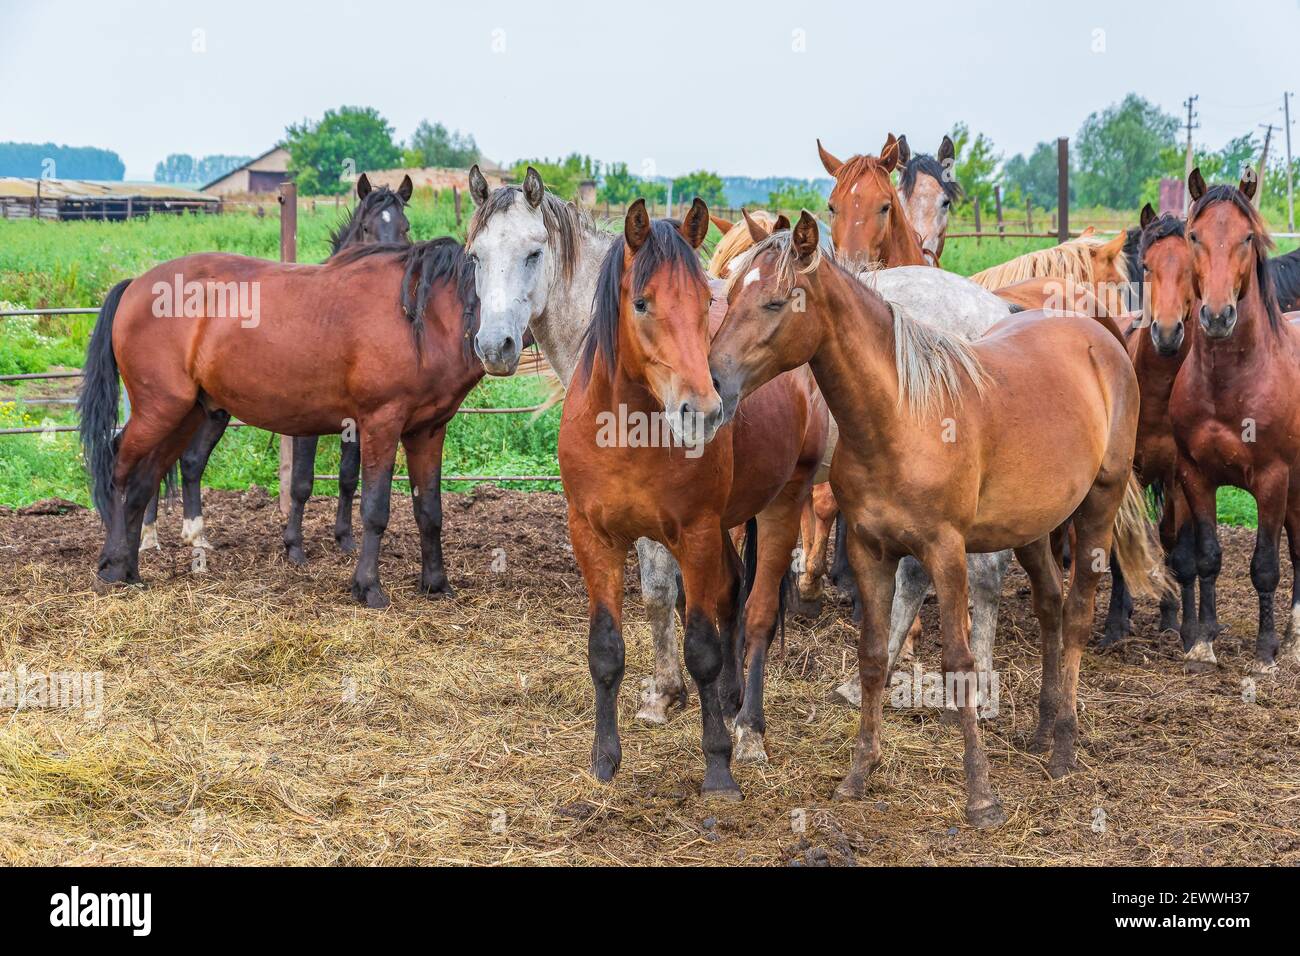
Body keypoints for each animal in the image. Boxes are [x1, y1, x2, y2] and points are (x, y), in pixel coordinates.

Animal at [77, 231, 481, 609]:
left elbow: (429, 510)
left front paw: (436, 584)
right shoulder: (381, 423)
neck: (421, 315)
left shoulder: (427, 430)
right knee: (120, 468)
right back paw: (113, 564)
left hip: (184, 416)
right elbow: (375, 509)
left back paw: (130, 569)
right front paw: (368, 587)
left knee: (145, 482)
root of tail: (136, 285)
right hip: (158, 409)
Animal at [137, 173, 415, 558]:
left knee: (190, 462)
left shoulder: (359, 422)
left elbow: (347, 477)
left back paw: (196, 537)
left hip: (213, 413)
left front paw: (345, 539)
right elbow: (301, 482)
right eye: (366, 227)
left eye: (405, 227)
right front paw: (294, 546)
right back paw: (149, 537)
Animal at [558, 199, 827, 789]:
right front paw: (604, 760)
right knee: (731, 592)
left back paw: (749, 729)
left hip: (783, 503)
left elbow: (701, 647)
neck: (627, 430)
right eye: (641, 302)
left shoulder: (696, 532)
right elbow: (606, 650)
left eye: (706, 301)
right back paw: (730, 699)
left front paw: (718, 766)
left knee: (756, 613)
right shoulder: (594, 537)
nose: (703, 412)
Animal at [708, 214, 1167, 825]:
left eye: (776, 302)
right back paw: (1043, 729)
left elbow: (958, 659)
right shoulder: (870, 550)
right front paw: (859, 773)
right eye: (733, 290)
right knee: (1049, 604)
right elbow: (873, 655)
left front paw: (981, 796)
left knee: (1075, 614)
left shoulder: (945, 552)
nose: (713, 380)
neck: (901, 415)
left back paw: (1064, 747)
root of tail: (1100, 338)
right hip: (1031, 526)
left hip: (1098, 506)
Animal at [1169, 169, 1300, 673]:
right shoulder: (1195, 475)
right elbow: (1208, 557)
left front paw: (1265, 651)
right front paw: (1203, 642)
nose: (1218, 315)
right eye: (1194, 236)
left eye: (1247, 237)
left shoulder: (1273, 479)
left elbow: (1265, 566)